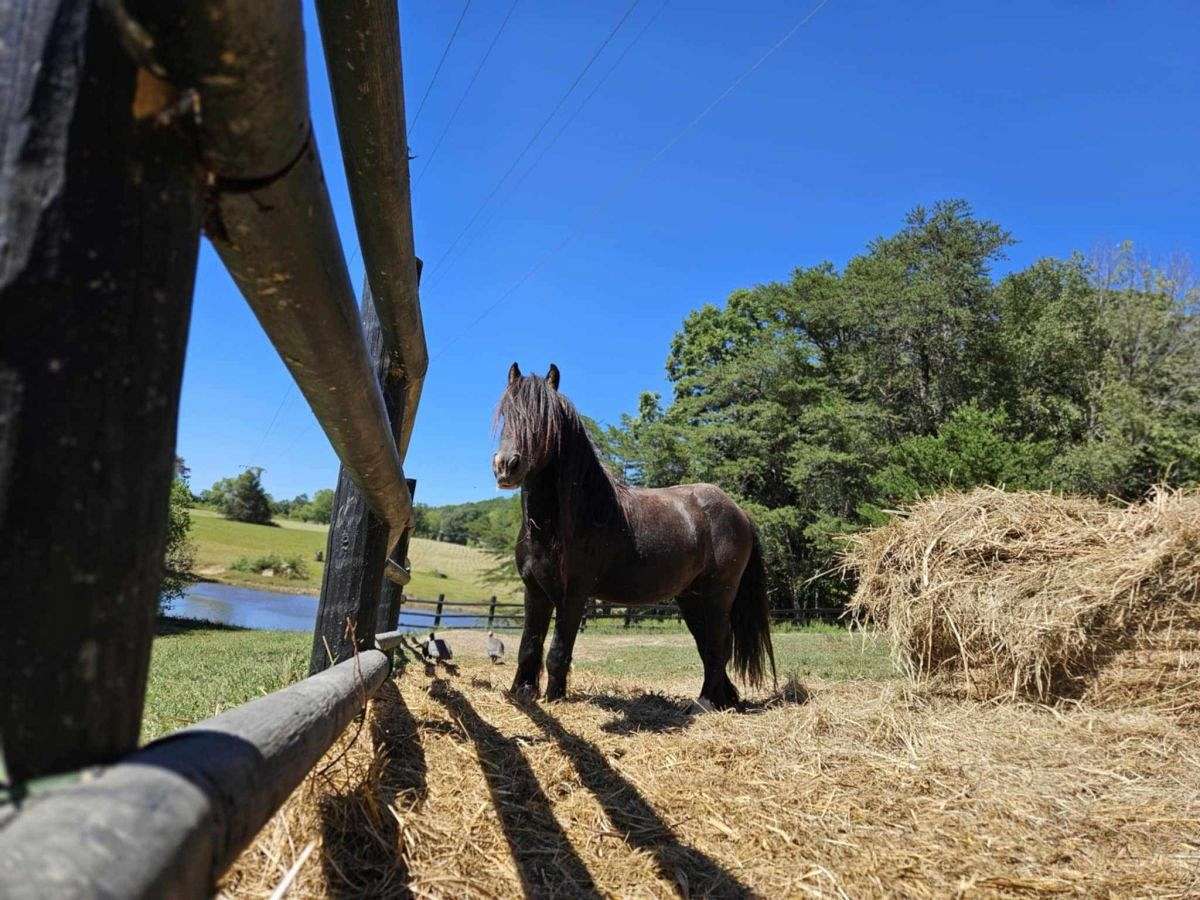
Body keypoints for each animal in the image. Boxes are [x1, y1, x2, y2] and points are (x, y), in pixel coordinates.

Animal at [492, 362, 775, 709]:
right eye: (507, 412)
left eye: (546, 420)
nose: (506, 466)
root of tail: (740, 512)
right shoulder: (535, 591)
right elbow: (528, 647)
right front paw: (522, 693)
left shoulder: (574, 595)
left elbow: (558, 653)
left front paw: (555, 698)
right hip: (692, 599)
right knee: (708, 647)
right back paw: (723, 699)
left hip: (717, 595)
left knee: (718, 645)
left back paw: (706, 703)